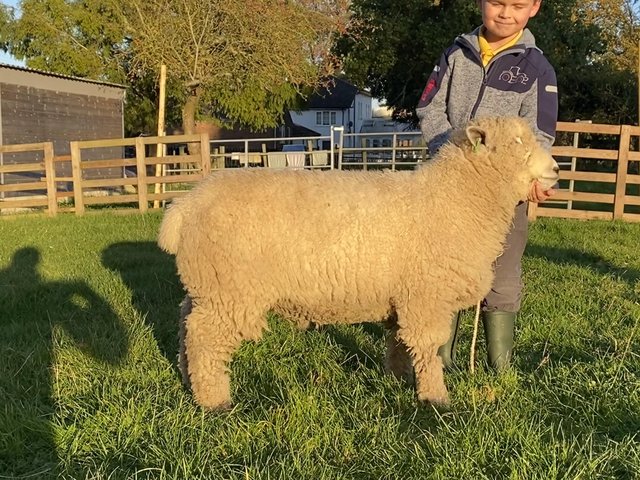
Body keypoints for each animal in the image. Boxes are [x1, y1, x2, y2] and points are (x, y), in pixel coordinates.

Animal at [158, 116, 560, 410]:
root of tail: (185, 206)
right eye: (516, 142)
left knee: (185, 323)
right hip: (230, 291)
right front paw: (435, 397)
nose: (556, 169)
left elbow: (399, 340)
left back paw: (187, 379)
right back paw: (214, 401)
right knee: (205, 340)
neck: (453, 197)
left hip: (206, 285)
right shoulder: (426, 295)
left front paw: (400, 378)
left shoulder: (404, 295)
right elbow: (428, 346)